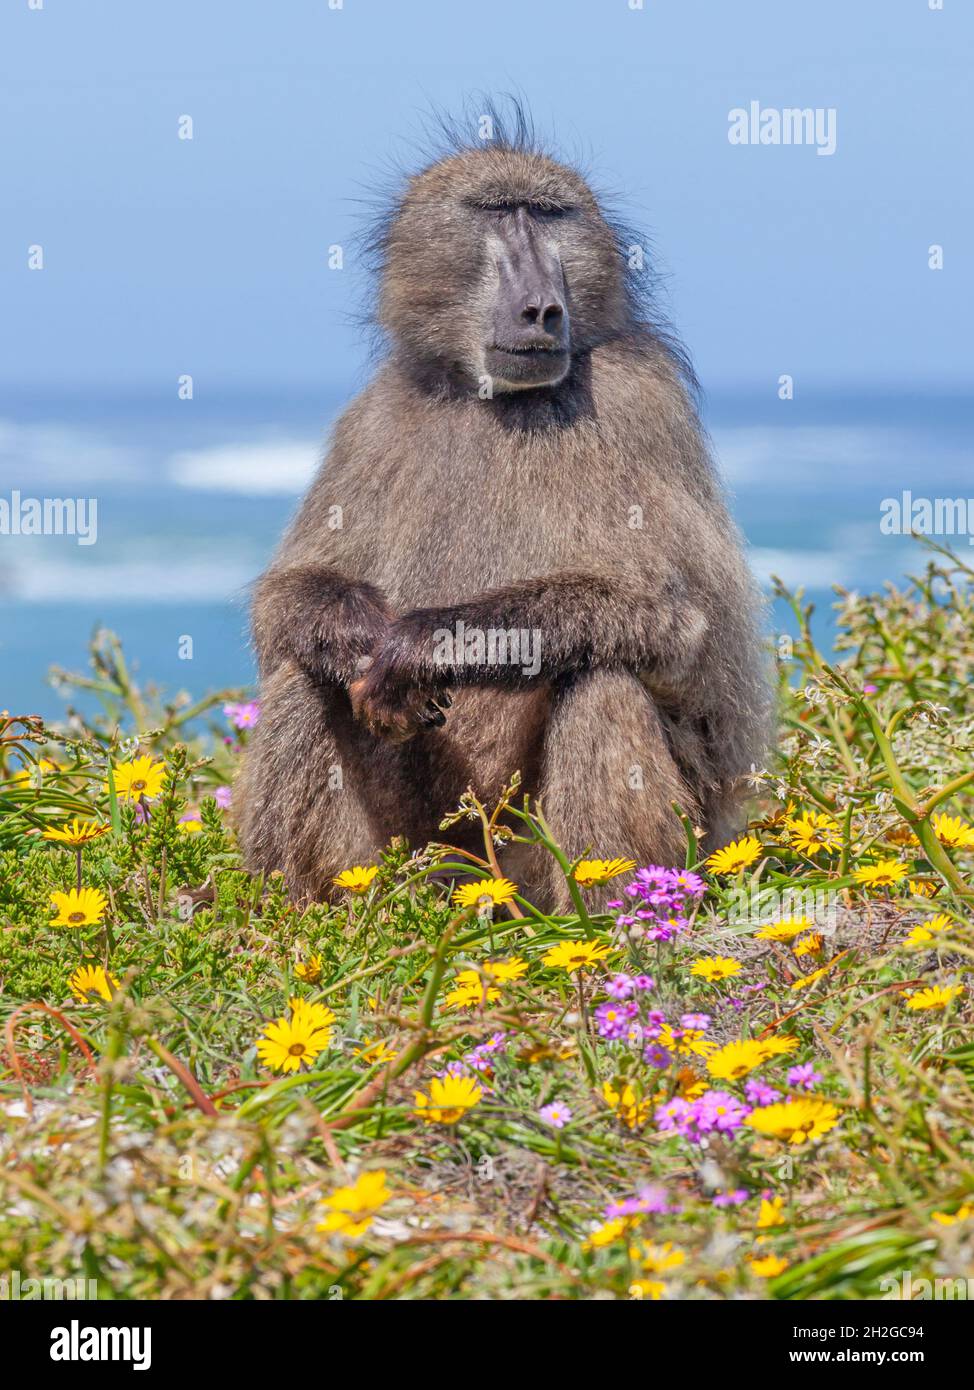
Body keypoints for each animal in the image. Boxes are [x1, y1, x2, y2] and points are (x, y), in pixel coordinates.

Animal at [236, 105, 771, 911]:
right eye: (495, 212)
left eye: (548, 215)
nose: (542, 308)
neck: (495, 400)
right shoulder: (370, 419)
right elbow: (283, 606)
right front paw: (358, 633)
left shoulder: (638, 398)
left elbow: (673, 617)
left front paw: (418, 644)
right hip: (411, 852)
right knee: (304, 678)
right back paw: (307, 913)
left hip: (568, 858)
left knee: (602, 677)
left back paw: (613, 914)